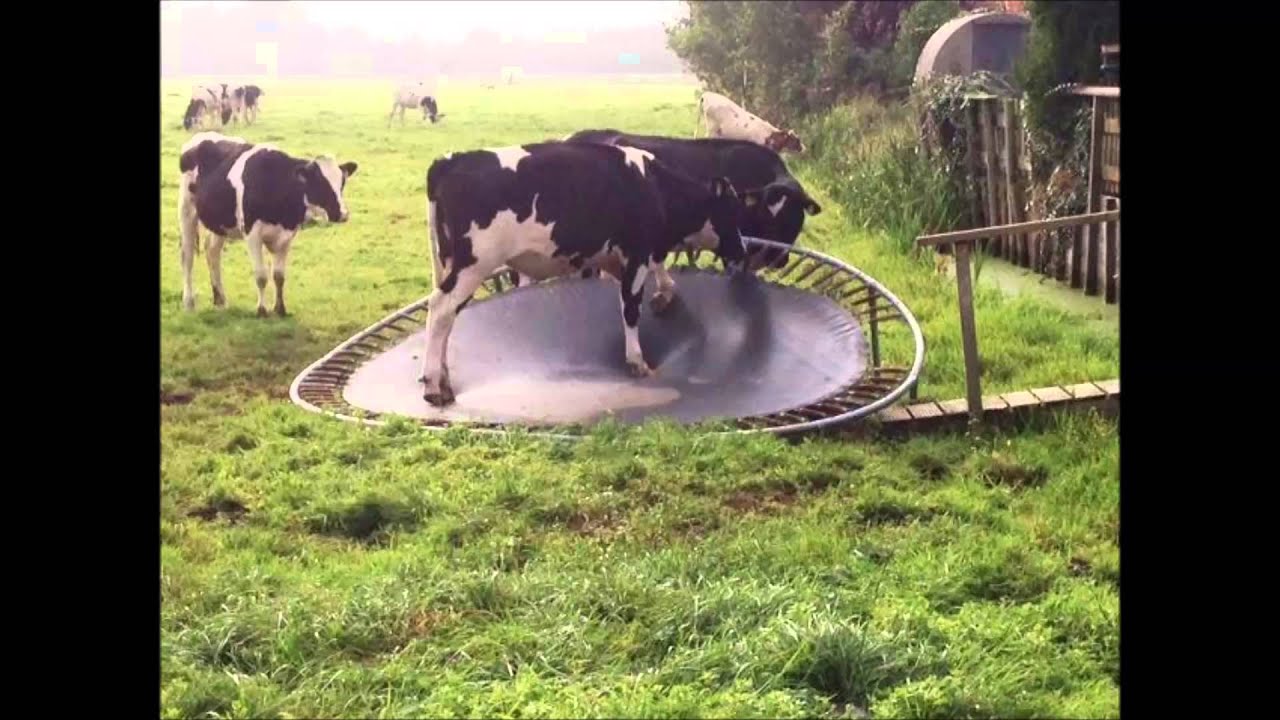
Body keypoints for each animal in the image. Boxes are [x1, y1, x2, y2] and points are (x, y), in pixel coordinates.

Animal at [177, 132, 358, 316]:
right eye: (320, 184)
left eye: (342, 183)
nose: (342, 214)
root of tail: (203, 135)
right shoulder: (252, 234)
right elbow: (261, 276)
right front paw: (261, 310)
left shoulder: (286, 236)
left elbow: (279, 276)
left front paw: (280, 309)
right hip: (187, 209)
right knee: (187, 257)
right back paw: (189, 302)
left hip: (220, 222)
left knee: (212, 251)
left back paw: (220, 299)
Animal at [420, 141, 751, 406]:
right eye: (732, 212)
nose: (743, 251)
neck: (654, 185)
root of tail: (452, 160)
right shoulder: (637, 252)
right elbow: (631, 308)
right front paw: (637, 361)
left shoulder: (618, 257)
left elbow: (655, 279)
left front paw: (665, 294)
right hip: (473, 264)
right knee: (441, 309)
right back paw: (434, 385)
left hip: (450, 262)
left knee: (446, 319)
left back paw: (443, 379)